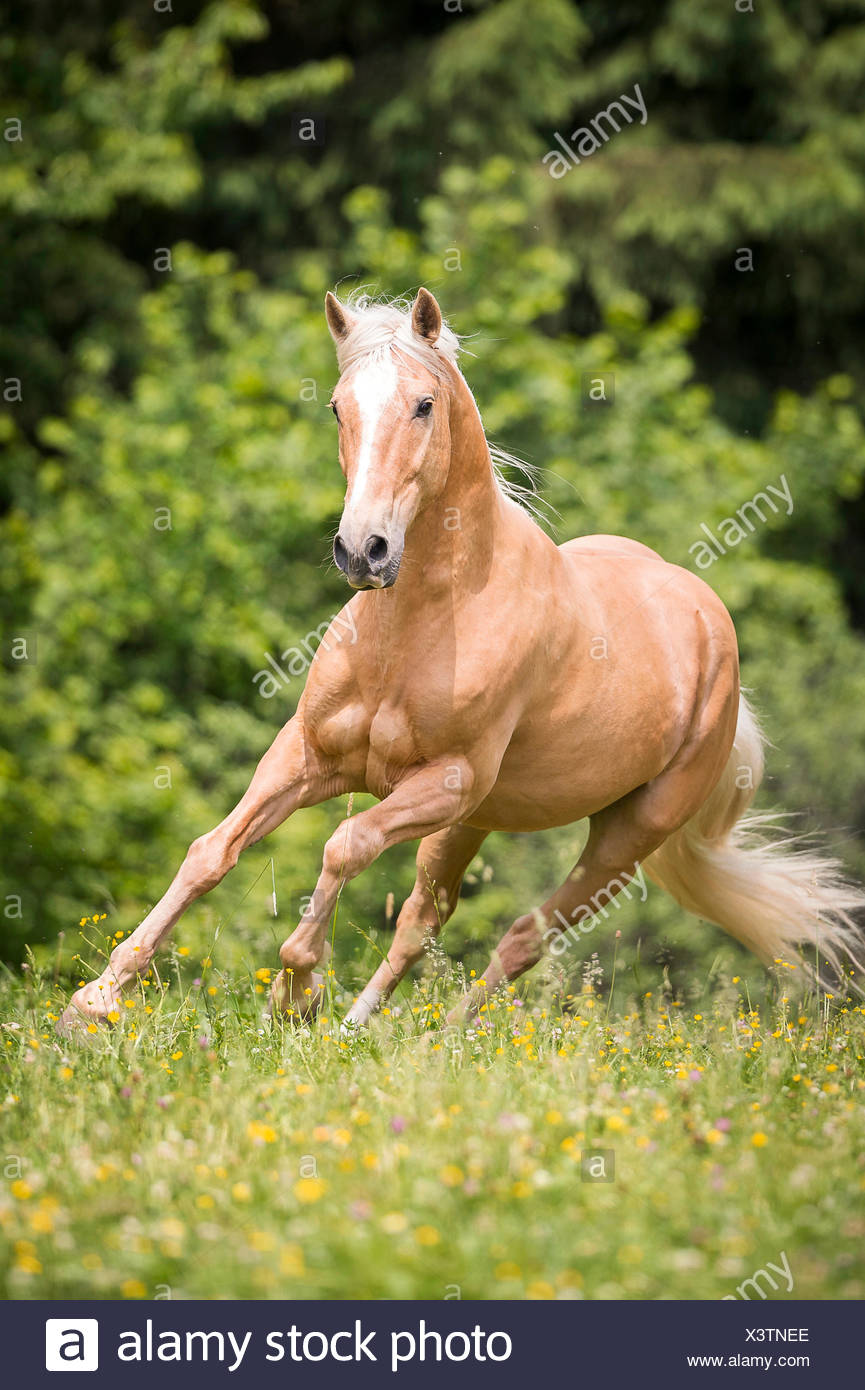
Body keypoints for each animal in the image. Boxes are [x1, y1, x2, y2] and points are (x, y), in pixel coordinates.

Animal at [58, 288, 865, 1036]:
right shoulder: (308, 756)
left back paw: (439, 1041)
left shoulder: (442, 782)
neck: (421, 629)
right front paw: (94, 1003)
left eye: (423, 405)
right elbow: (211, 853)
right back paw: (356, 1032)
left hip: (623, 836)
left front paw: (295, 991)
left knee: (524, 938)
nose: (362, 551)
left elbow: (344, 846)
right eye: (337, 408)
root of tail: (707, 623)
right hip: (475, 821)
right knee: (423, 921)